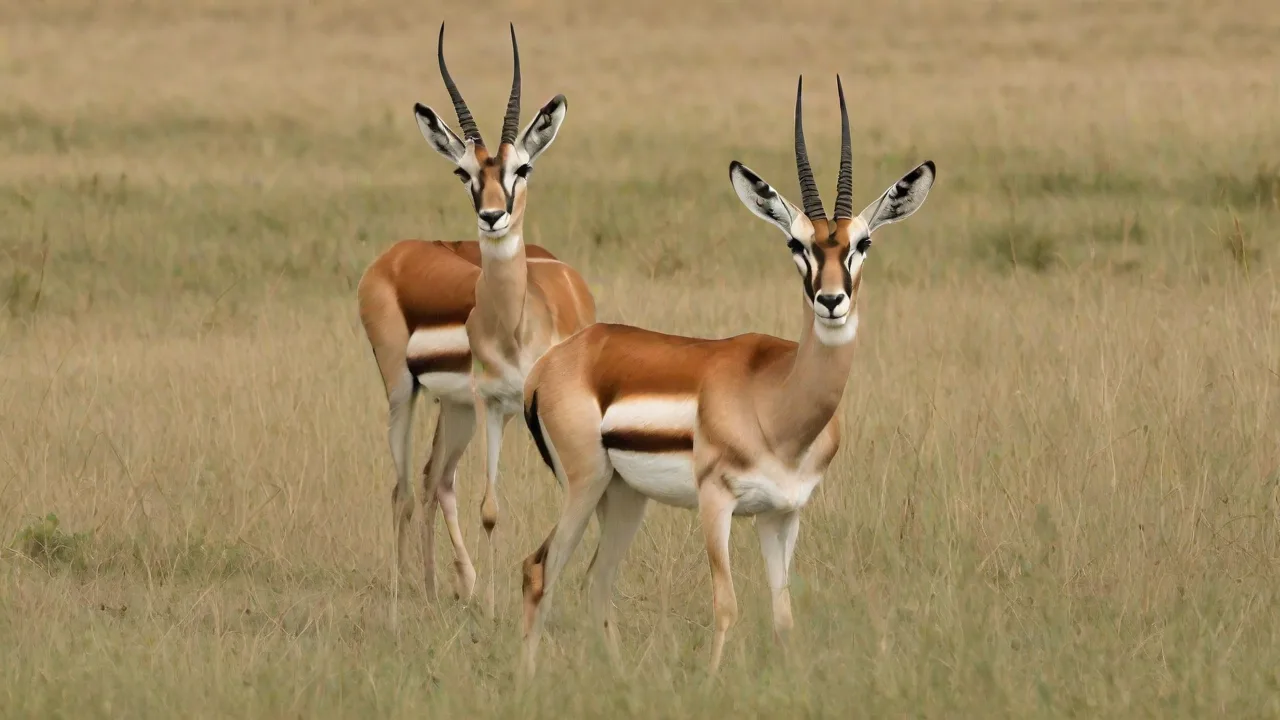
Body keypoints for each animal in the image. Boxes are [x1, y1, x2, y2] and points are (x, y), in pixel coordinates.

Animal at [357, 23, 595, 622]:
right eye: (463, 172)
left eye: (522, 168)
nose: (491, 216)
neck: (515, 324)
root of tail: (396, 255)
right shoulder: (493, 405)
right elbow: (490, 507)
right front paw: (494, 604)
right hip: (408, 392)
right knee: (405, 489)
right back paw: (412, 594)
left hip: (455, 408)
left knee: (432, 479)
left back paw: (440, 586)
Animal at [516, 76, 936, 675]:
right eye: (797, 244)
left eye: (863, 243)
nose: (832, 301)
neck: (777, 404)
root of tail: (553, 363)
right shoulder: (716, 503)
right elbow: (727, 604)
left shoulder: (782, 514)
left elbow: (783, 613)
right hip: (586, 484)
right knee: (540, 570)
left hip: (624, 496)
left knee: (596, 582)